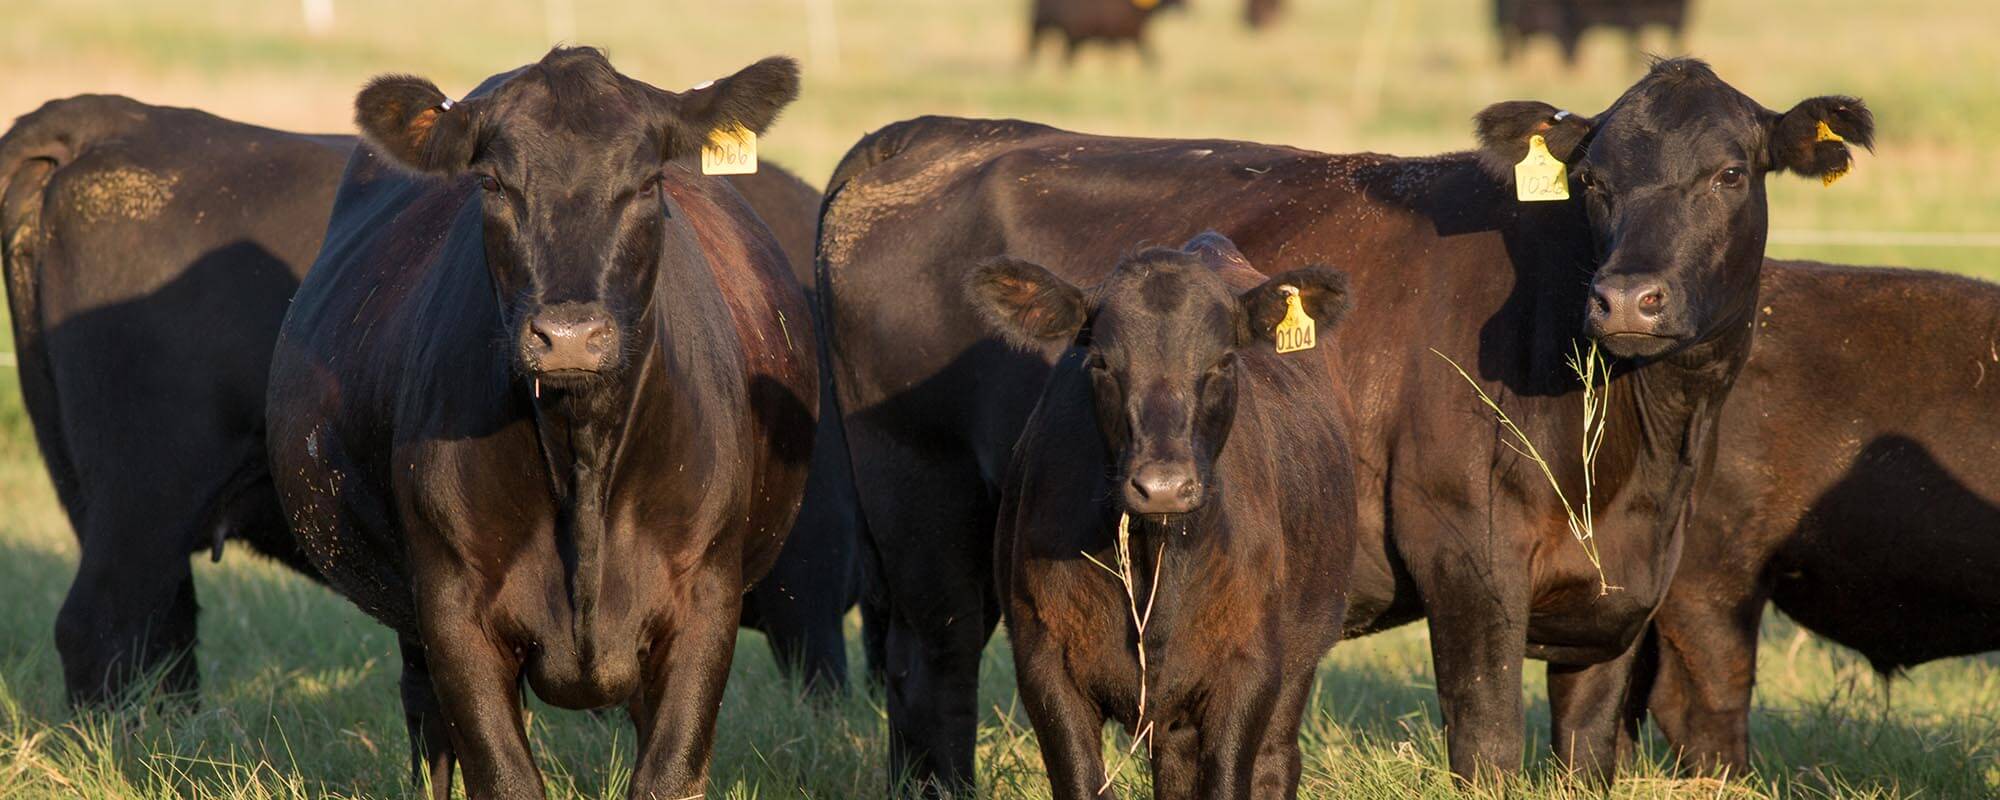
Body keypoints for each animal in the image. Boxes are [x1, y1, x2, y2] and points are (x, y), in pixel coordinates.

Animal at [0, 94, 864, 707]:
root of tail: (114, 119)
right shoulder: (811, 585)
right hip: (143, 501)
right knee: (102, 630)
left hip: (119, 508)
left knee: (162, 640)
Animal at [265, 47, 817, 797]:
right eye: (493, 184)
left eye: (647, 182)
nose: (569, 335)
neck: (581, 454)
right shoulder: (453, 609)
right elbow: (503, 774)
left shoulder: (707, 599)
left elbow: (669, 772)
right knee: (427, 723)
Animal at [976, 233, 1358, 798]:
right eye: (1100, 362)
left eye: (1223, 361)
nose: (1163, 487)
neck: (1154, 556)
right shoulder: (1043, 660)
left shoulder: (1249, 666)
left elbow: (1227, 780)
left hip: (1297, 658)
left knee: (1274, 760)